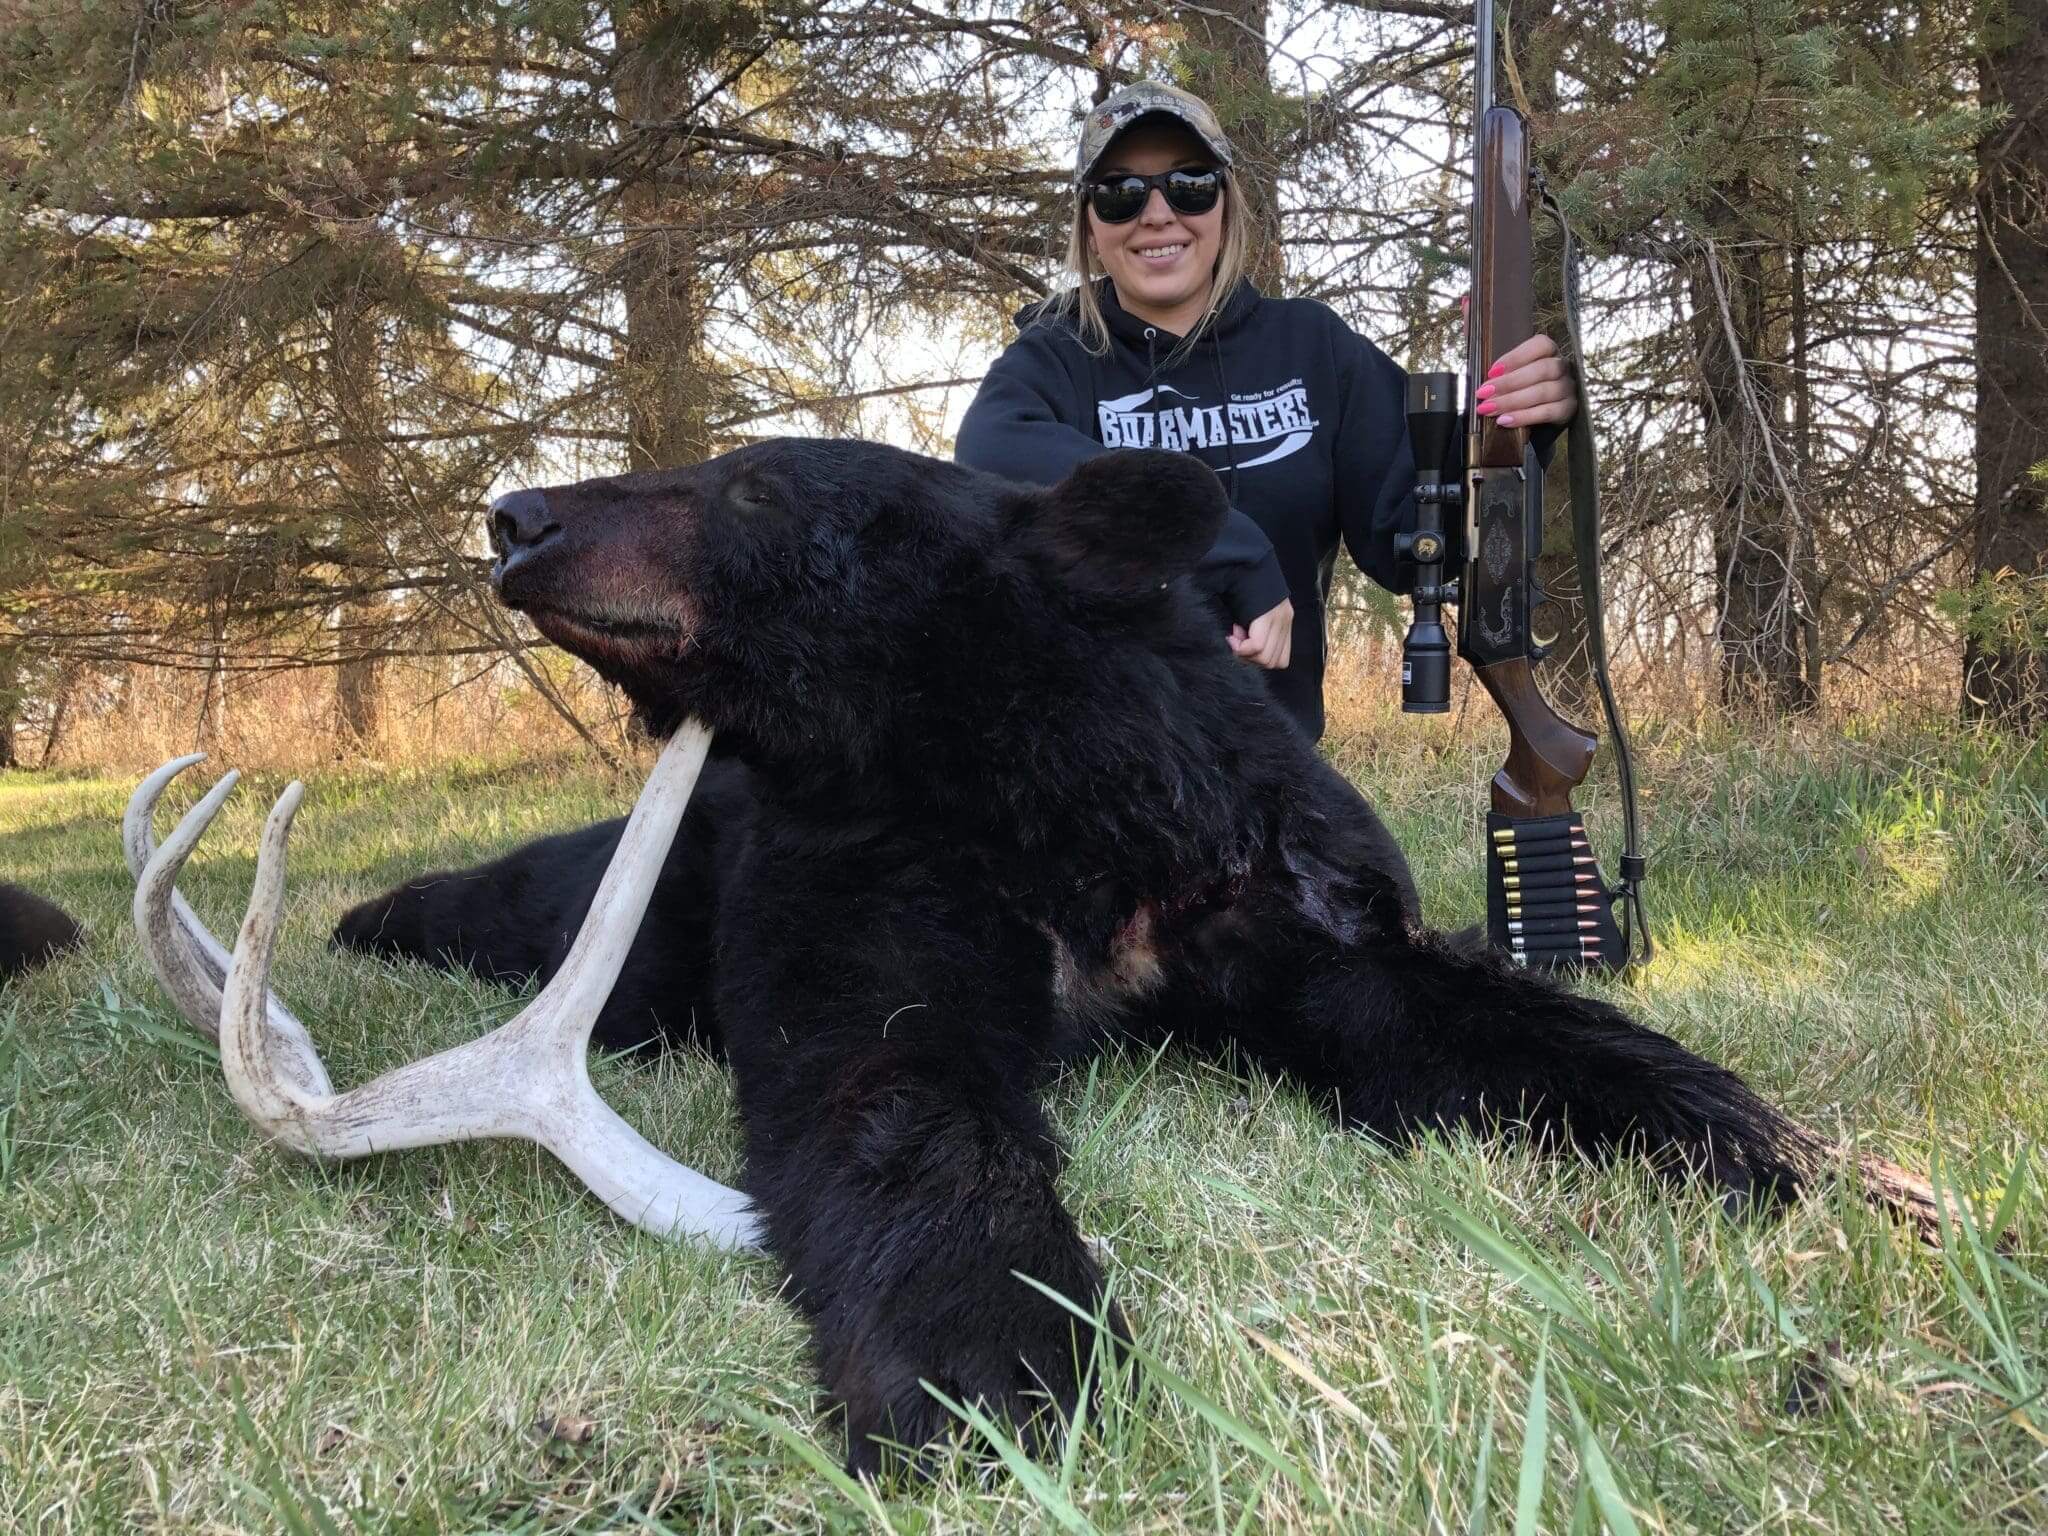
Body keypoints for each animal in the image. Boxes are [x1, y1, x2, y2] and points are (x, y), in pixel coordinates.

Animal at [341, 439, 1821, 1474]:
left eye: (749, 488)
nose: (517, 516)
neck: (1022, 771)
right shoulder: (872, 863)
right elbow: (894, 1079)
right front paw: (991, 1364)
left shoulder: (1240, 861)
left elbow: (1434, 1001)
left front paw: (1739, 1136)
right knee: (531, 898)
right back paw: (373, 917)